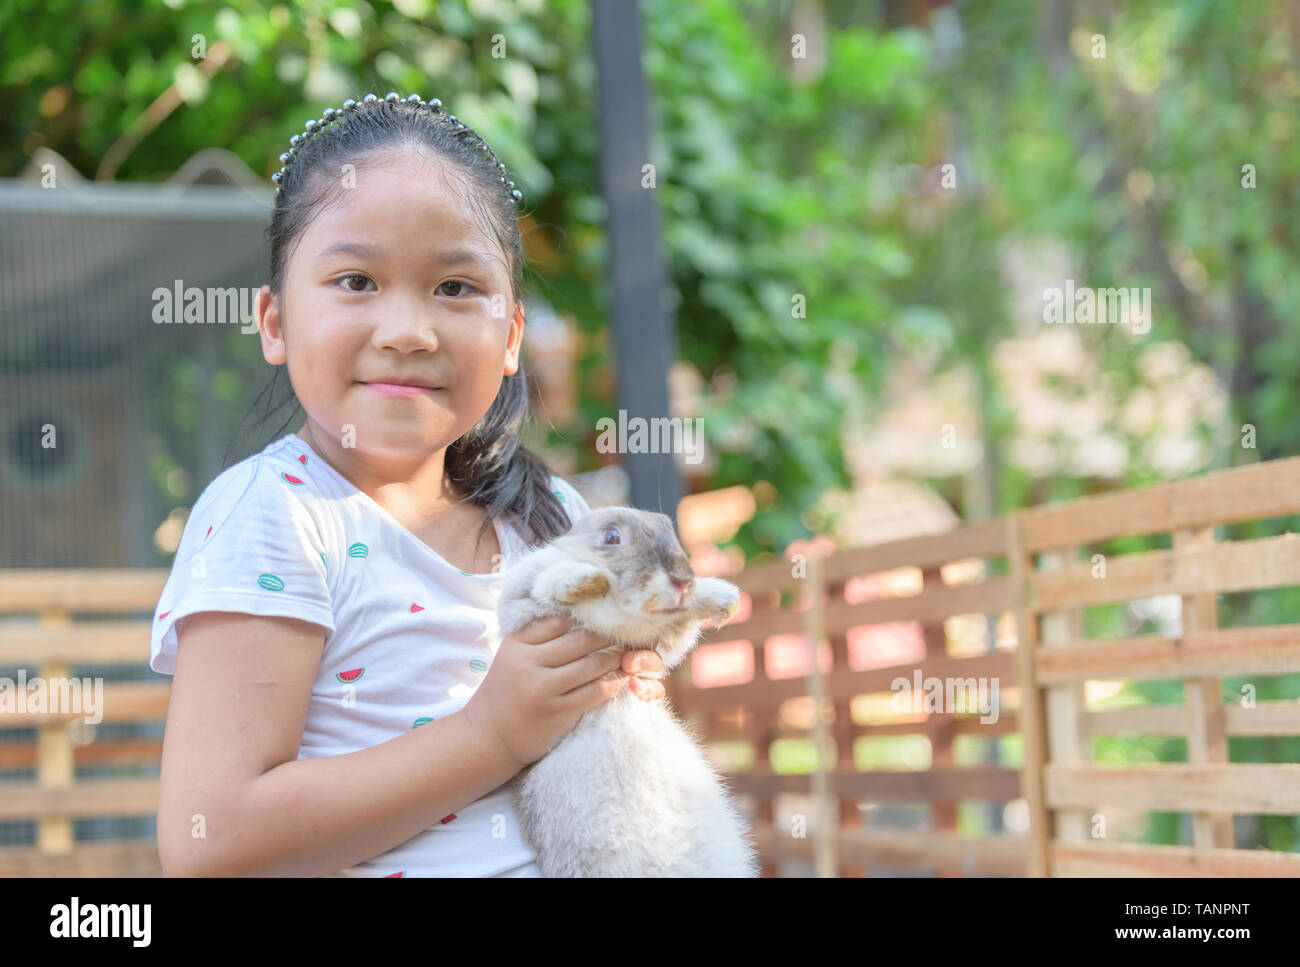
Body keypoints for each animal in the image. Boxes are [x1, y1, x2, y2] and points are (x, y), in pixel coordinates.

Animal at [497, 505, 760, 877]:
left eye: (668, 528)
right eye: (612, 537)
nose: (682, 581)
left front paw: (722, 599)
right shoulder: (524, 601)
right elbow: (560, 586)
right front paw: (587, 580)